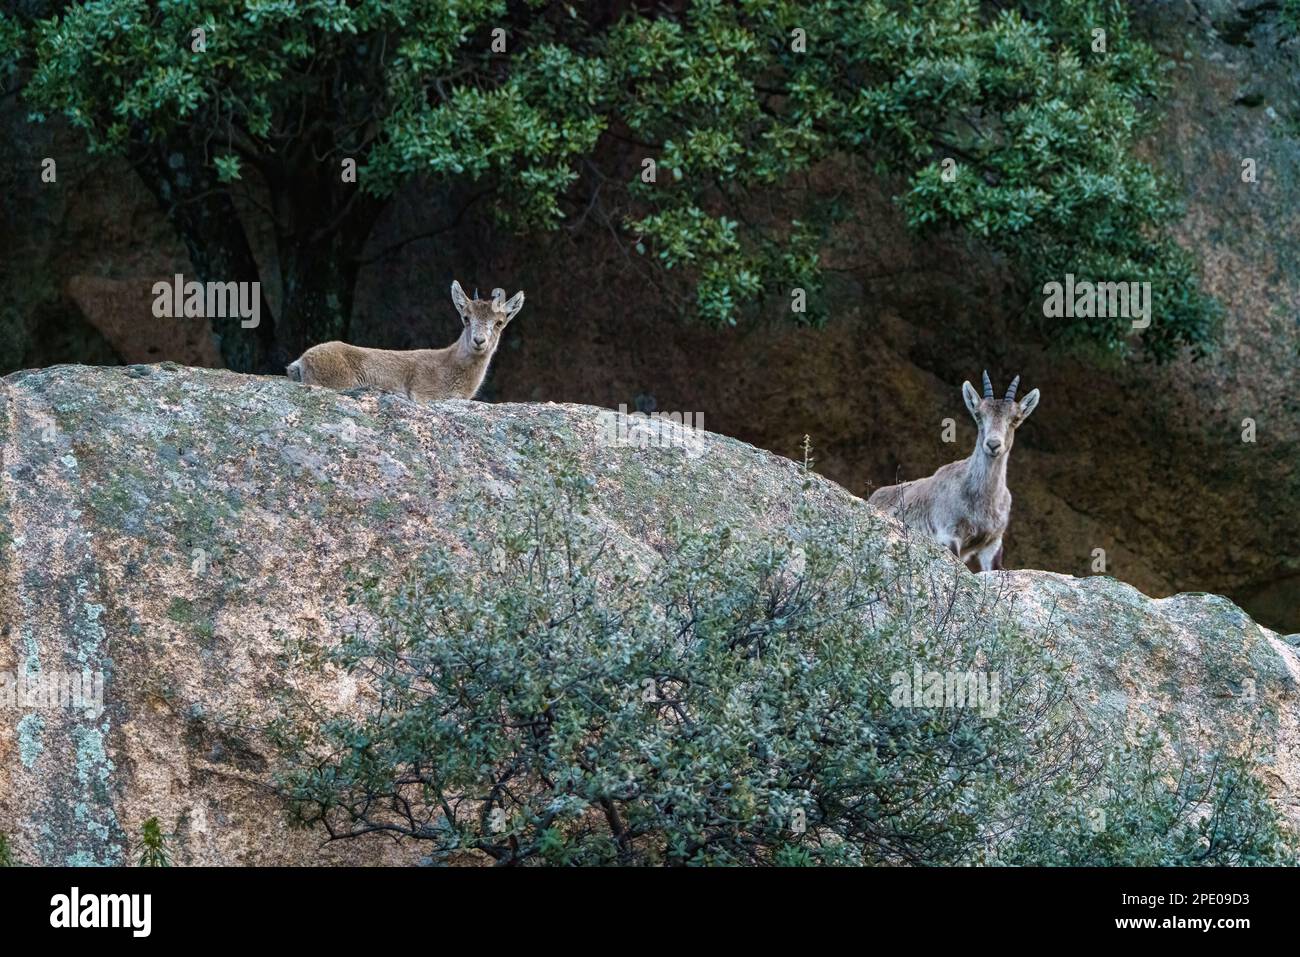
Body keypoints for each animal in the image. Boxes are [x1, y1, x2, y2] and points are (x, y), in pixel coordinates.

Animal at [285, 281, 524, 401]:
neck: (450, 364)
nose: (479, 340)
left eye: (499, 322)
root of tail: (301, 361)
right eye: (466, 317)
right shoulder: (424, 393)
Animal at [868, 372, 1040, 572]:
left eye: (1015, 419)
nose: (993, 444)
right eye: (978, 415)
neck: (983, 500)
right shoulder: (948, 534)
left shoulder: (993, 542)